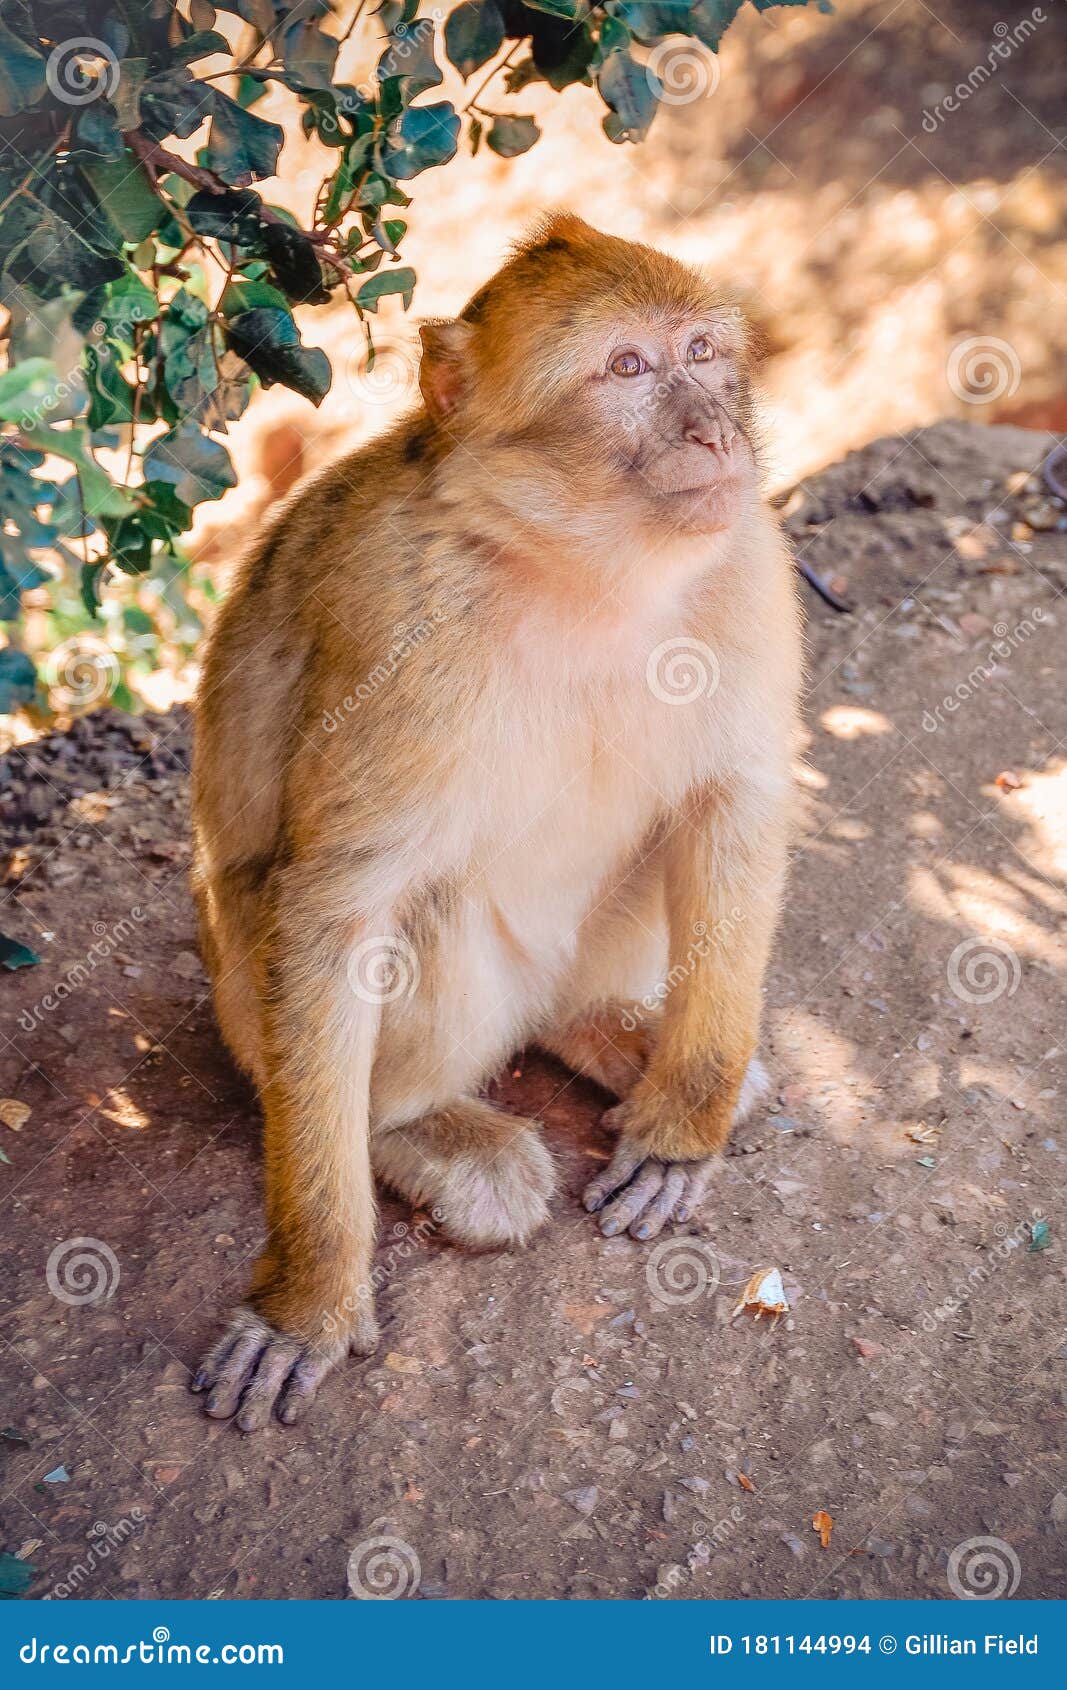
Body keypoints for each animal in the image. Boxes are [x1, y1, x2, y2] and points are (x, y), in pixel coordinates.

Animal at [189, 213, 802, 1432]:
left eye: (703, 351)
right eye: (627, 367)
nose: (714, 430)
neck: (586, 568)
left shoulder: (747, 559)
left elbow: (733, 801)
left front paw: (682, 1130)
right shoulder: (400, 628)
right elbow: (338, 904)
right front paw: (309, 1298)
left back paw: (614, 1032)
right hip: (249, 1019)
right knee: (413, 920)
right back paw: (414, 1127)